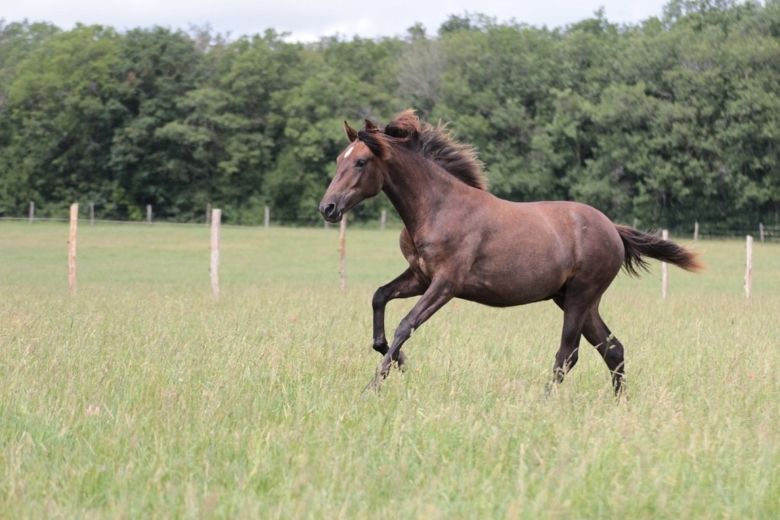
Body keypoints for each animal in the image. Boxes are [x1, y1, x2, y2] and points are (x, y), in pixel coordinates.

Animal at [319, 110, 701, 394]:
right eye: (338, 159)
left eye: (361, 162)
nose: (328, 207)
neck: (438, 207)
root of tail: (613, 230)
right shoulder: (419, 276)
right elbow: (379, 298)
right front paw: (397, 362)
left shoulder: (446, 283)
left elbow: (406, 324)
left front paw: (373, 384)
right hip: (573, 298)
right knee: (612, 348)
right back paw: (619, 402)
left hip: (581, 295)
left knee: (569, 353)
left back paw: (545, 400)